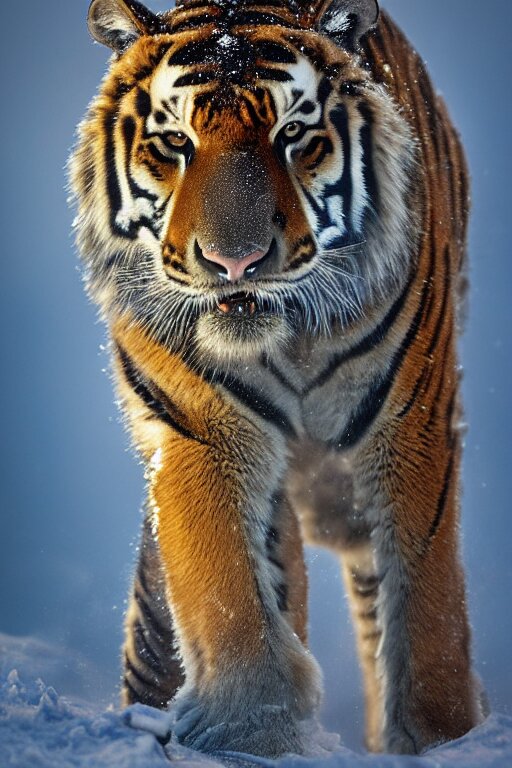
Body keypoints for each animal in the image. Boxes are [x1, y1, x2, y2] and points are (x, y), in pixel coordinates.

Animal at [70, 0, 486, 757]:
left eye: (292, 134)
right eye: (174, 141)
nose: (235, 264)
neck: (292, 339)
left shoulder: (410, 421)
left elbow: (428, 600)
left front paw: (443, 742)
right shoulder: (204, 427)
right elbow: (227, 589)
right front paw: (252, 731)